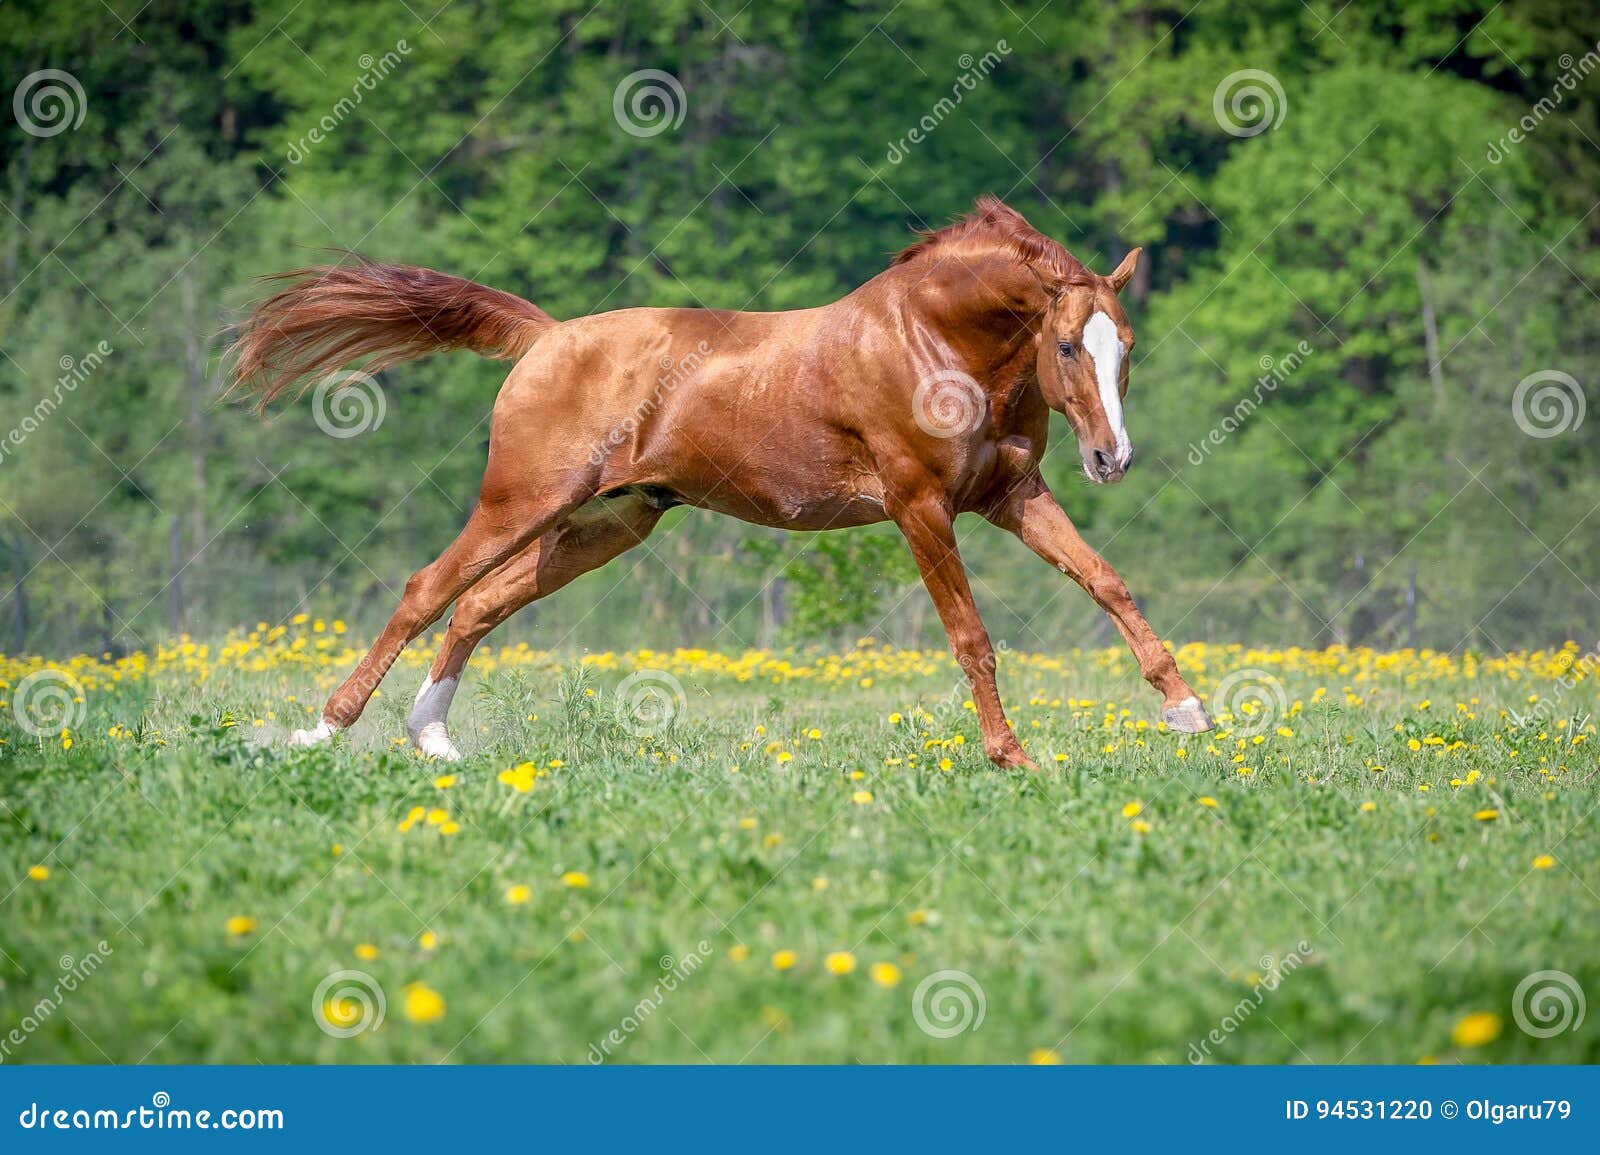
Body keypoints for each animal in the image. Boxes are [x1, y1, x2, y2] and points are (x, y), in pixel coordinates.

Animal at [230, 196, 1213, 768]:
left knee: (476, 603)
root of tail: (546, 338)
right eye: (1065, 345)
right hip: (523, 502)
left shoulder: (1012, 498)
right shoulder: (920, 509)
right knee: (427, 588)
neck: (935, 342)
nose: (1111, 459)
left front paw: (1191, 712)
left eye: (1125, 346)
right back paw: (322, 729)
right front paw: (1010, 757)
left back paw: (433, 740)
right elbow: (971, 636)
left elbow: (1107, 582)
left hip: (605, 524)